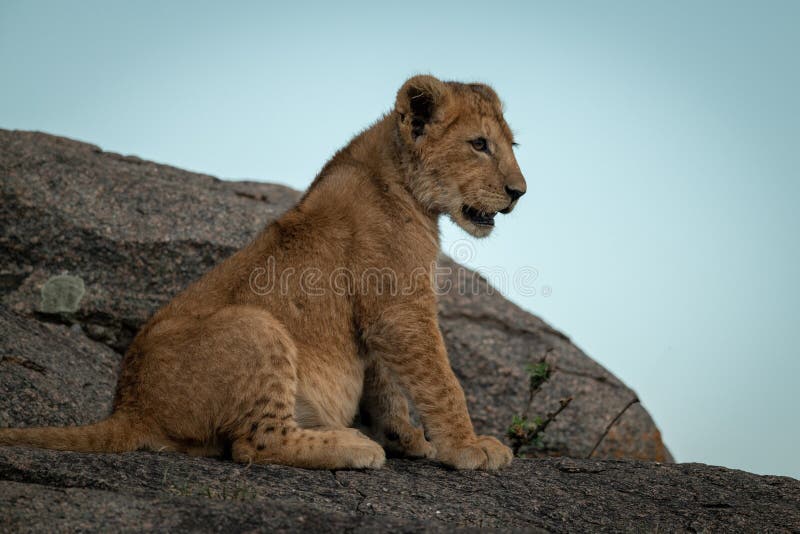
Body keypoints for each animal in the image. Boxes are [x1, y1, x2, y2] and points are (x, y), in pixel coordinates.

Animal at [0, 75, 527, 470]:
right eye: (479, 145)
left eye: (511, 144)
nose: (520, 192)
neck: (400, 177)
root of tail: (130, 408)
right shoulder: (399, 308)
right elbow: (439, 380)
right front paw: (467, 447)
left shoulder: (374, 315)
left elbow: (387, 384)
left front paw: (411, 440)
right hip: (255, 325)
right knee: (253, 444)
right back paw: (351, 444)